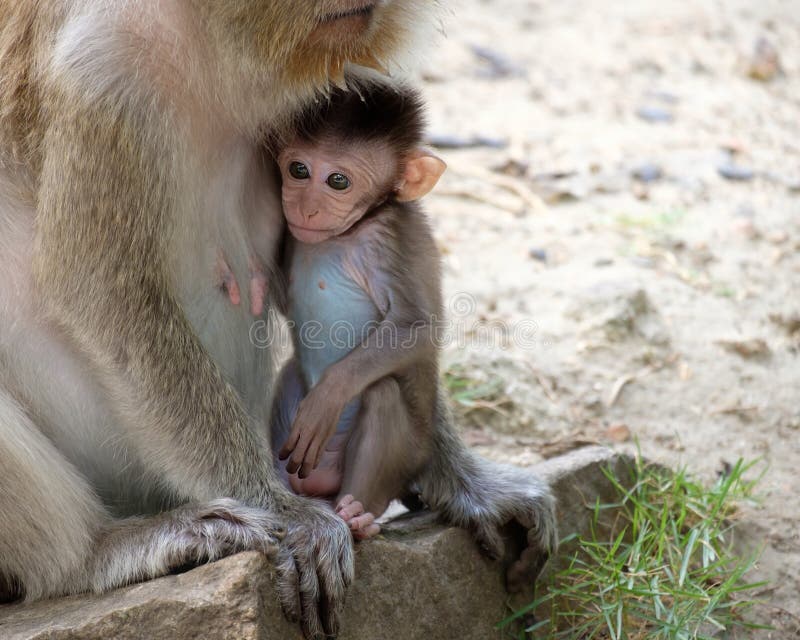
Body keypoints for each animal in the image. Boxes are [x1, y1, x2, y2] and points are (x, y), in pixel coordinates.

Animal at [0, 2, 556, 638]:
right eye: (303, 172)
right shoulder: (102, 63)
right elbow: (103, 289)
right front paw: (287, 513)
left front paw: (464, 482)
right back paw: (93, 554)